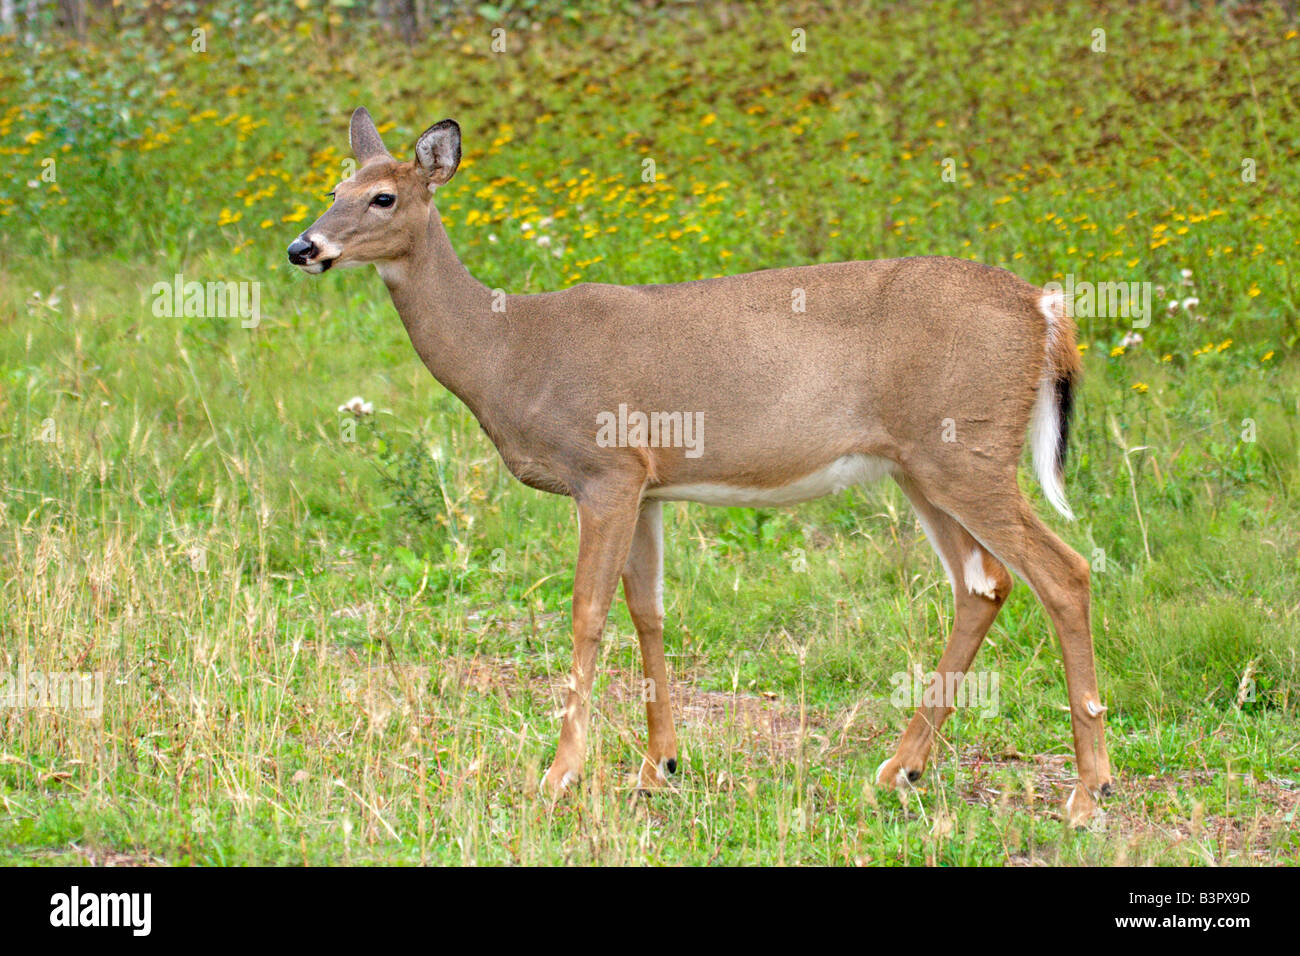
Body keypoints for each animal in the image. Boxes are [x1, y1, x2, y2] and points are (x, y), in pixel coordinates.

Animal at [287, 108, 1114, 825]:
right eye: (334, 188)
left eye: (383, 196)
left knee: (1065, 572)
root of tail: (1046, 309)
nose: (304, 248)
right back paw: (901, 767)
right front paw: (660, 767)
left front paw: (559, 775)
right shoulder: (648, 485)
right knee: (984, 583)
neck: (510, 354)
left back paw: (1088, 791)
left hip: (966, 452)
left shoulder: (606, 468)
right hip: (921, 463)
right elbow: (648, 611)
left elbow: (588, 613)